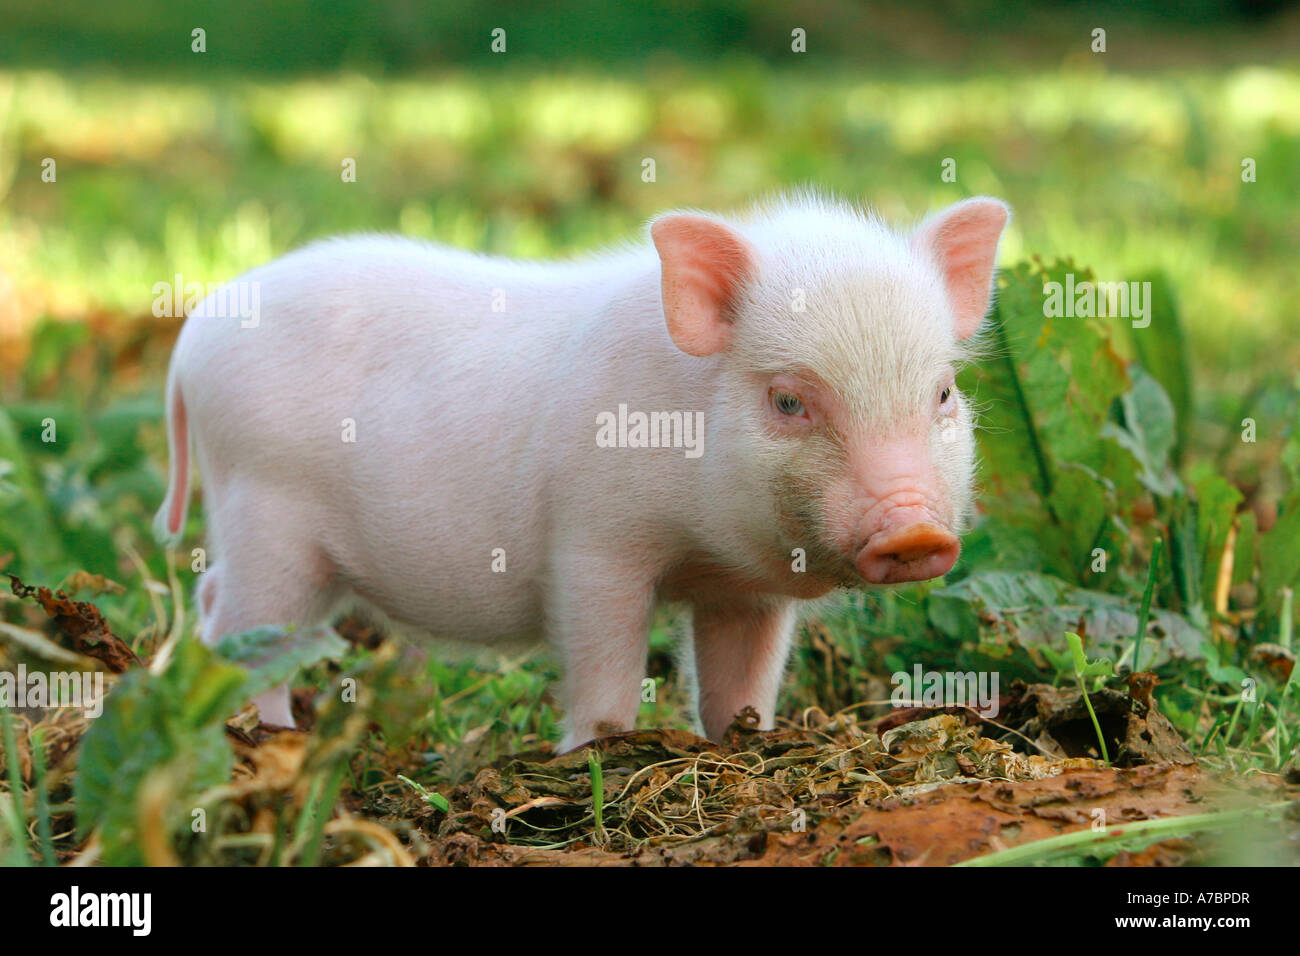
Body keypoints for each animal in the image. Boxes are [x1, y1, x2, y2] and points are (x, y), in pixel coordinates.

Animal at [155, 193, 1010, 751]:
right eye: (789, 400)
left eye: (942, 392)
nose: (916, 532)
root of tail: (191, 340)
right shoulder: (594, 543)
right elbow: (605, 665)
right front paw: (596, 749)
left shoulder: (748, 590)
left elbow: (741, 682)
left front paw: (745, 740)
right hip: (264, 511)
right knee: (239, 631)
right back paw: (269, 738)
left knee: (221, 605)